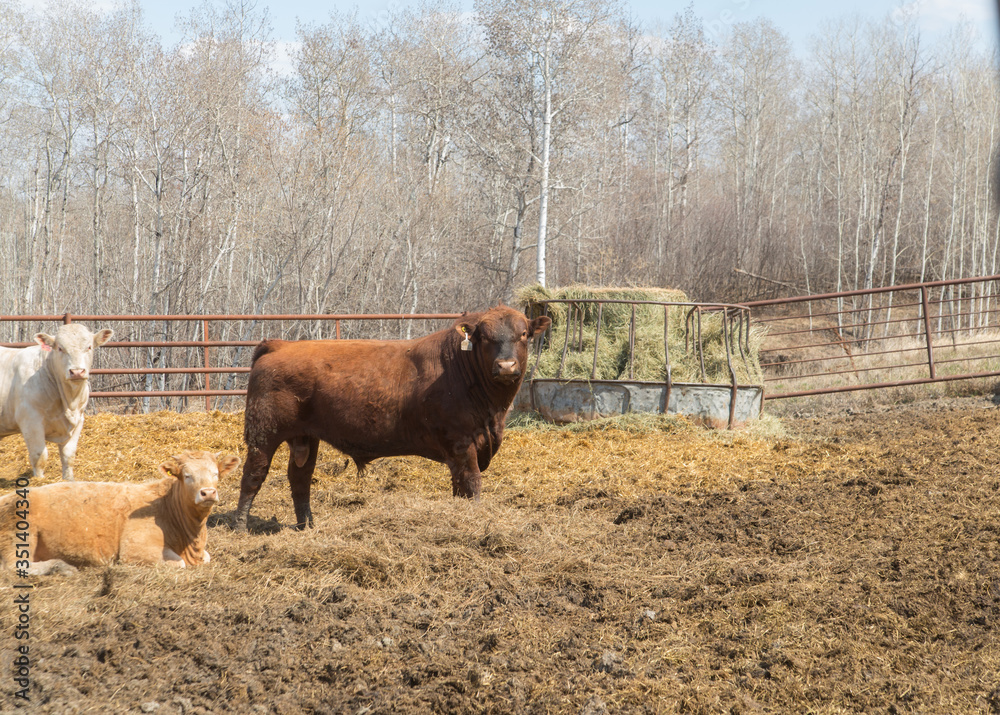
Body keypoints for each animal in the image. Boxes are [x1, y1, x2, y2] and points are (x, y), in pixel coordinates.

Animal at [0, 323, 114, 481]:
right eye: (60, 348)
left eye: (89, 347)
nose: (77, 372)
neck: (69, 402)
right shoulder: (30, 420)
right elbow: (39, 456)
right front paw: (39, 481)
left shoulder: (79, 420)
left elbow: (68, 456)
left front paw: (69, 480)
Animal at [0, 450, 240, 575]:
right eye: (187, 475)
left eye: (215, 473)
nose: (208, 492)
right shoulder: (135, 549)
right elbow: (179, 564)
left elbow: (207, 557)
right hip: (18, 534)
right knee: (13, 567)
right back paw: (63, 567)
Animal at [234, 305, 551, 531]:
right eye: (484, 337)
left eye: (524, 334)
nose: (506, 366)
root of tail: (280, 344)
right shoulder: (462, 443)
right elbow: (471, 484)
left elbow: (458, 488)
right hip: (263, 432)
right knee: (253, 475)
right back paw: (240, 526)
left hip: (305, 437)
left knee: (300, 478)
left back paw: (307, 526)